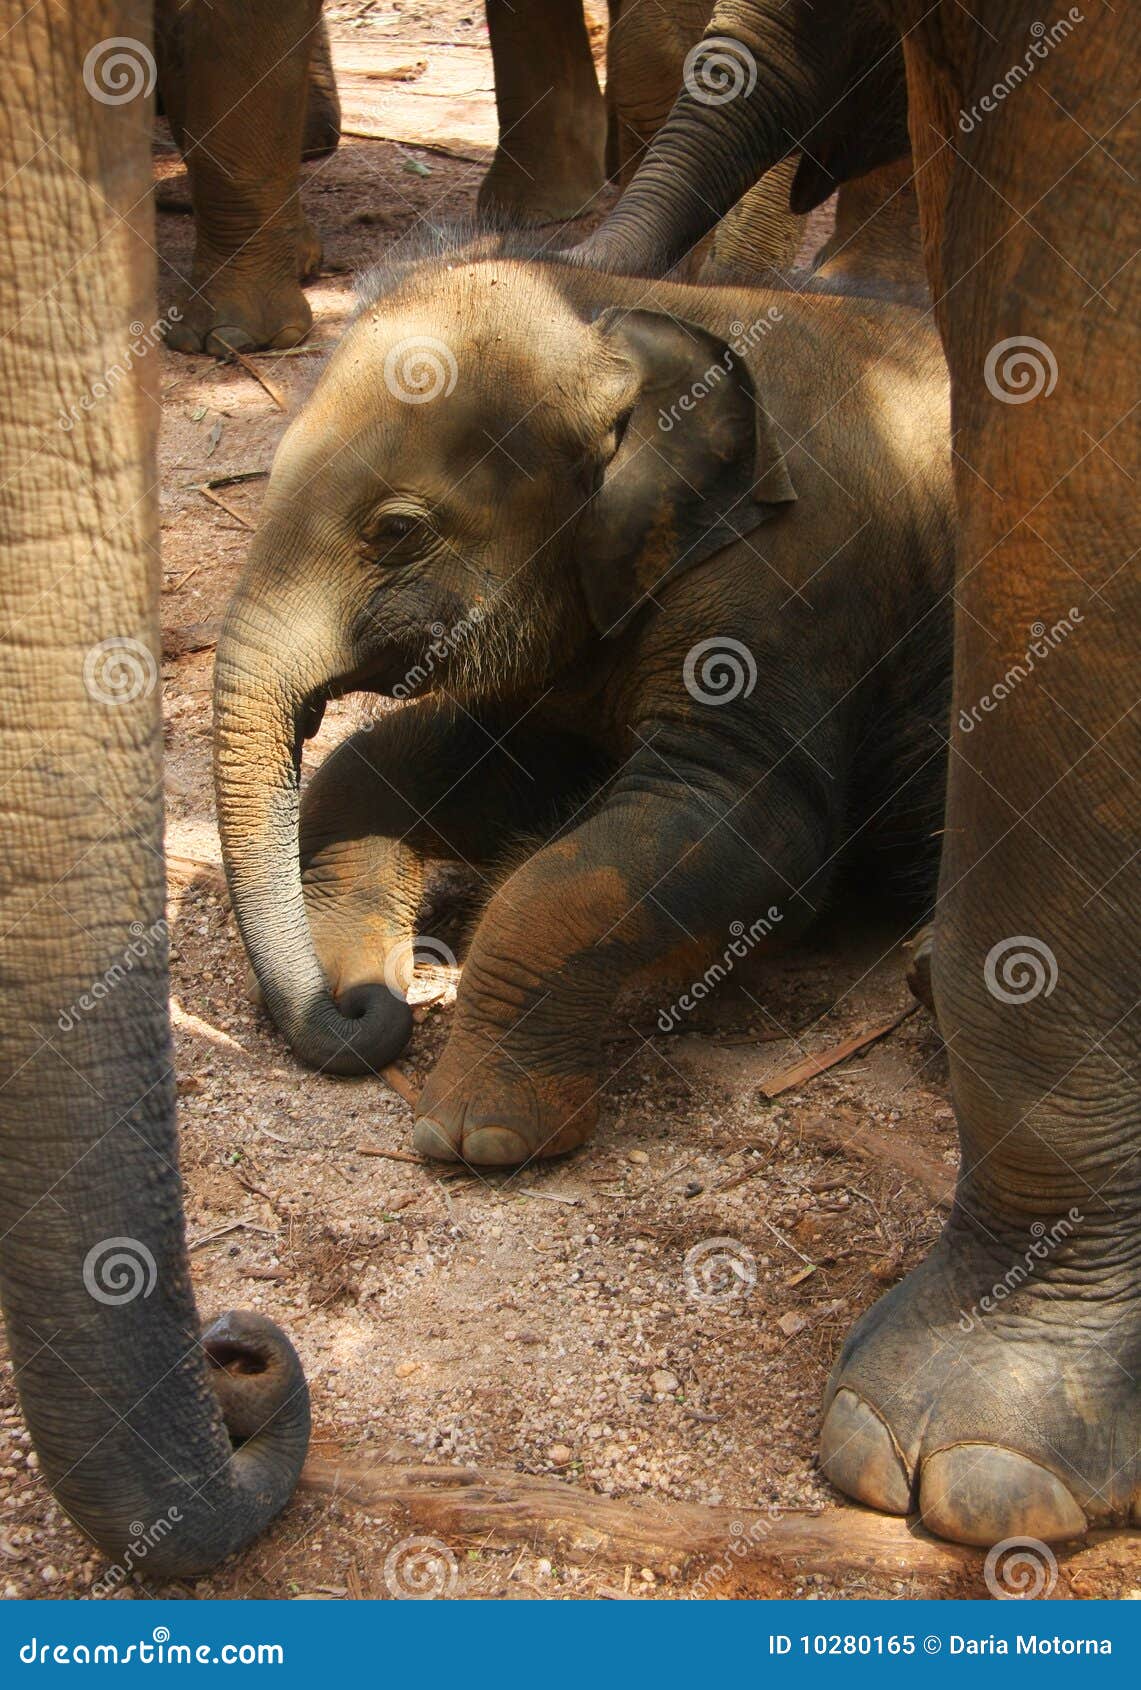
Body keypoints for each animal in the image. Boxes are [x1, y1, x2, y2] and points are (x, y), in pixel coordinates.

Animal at [212, 230, 953, 1172]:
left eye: (396, 531)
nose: (359, 1009)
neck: (622, 306)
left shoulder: (794, 592)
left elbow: (739, 823)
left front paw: (483, 1137)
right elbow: (423, 760)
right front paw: (356, 963)